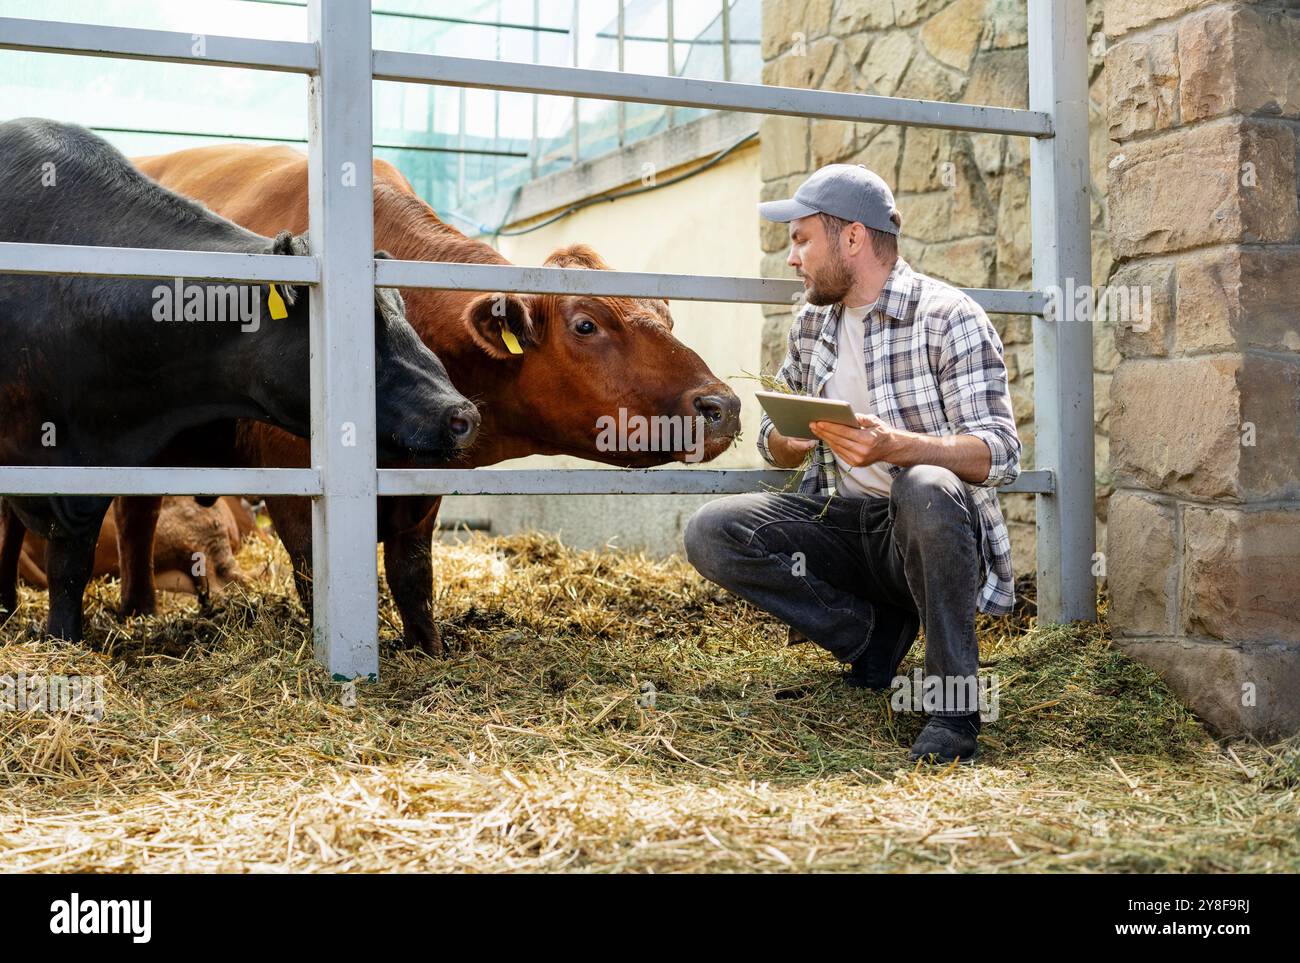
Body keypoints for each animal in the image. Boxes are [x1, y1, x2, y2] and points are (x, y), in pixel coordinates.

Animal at [114, 143, 744, 655]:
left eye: (667, 315)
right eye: (586, 324)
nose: (723, 407)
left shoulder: (425, 482)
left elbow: (412, 574)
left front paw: (428, 649)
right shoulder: (295, 482)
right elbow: (317, 573)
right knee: (134, 513)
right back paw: (136, 612)